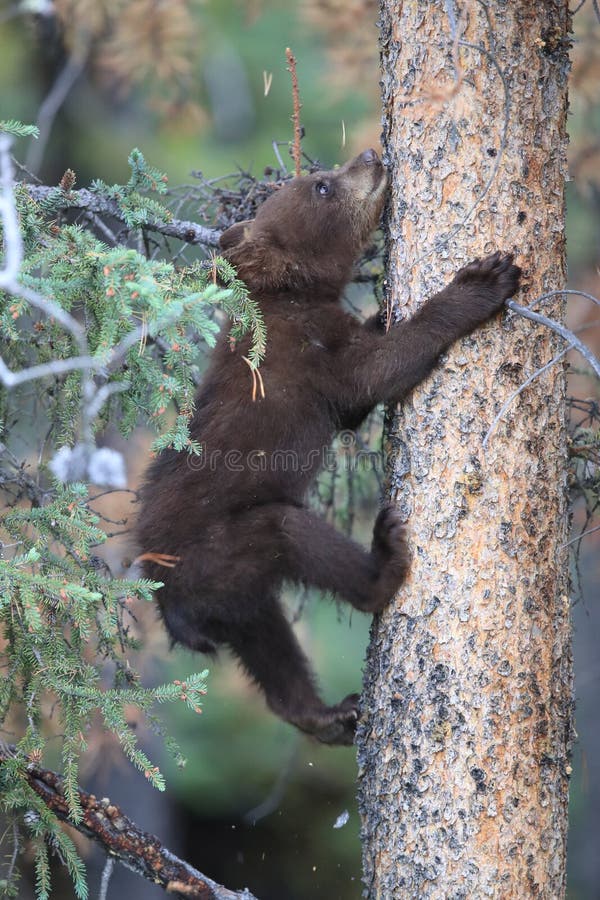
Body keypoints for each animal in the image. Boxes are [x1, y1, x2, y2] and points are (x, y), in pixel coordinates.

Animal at [136, 148, 521, 746]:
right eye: (321, 186)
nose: (370, 155)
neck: (287, 297)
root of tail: (167, 602)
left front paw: (381, 309)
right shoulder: (309, 352)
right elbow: (376, 372)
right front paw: (482, 280)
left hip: (236, 594)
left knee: (269, 648)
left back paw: (328, 715)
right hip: (224, 549)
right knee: (294, 537)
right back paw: (383, 561)